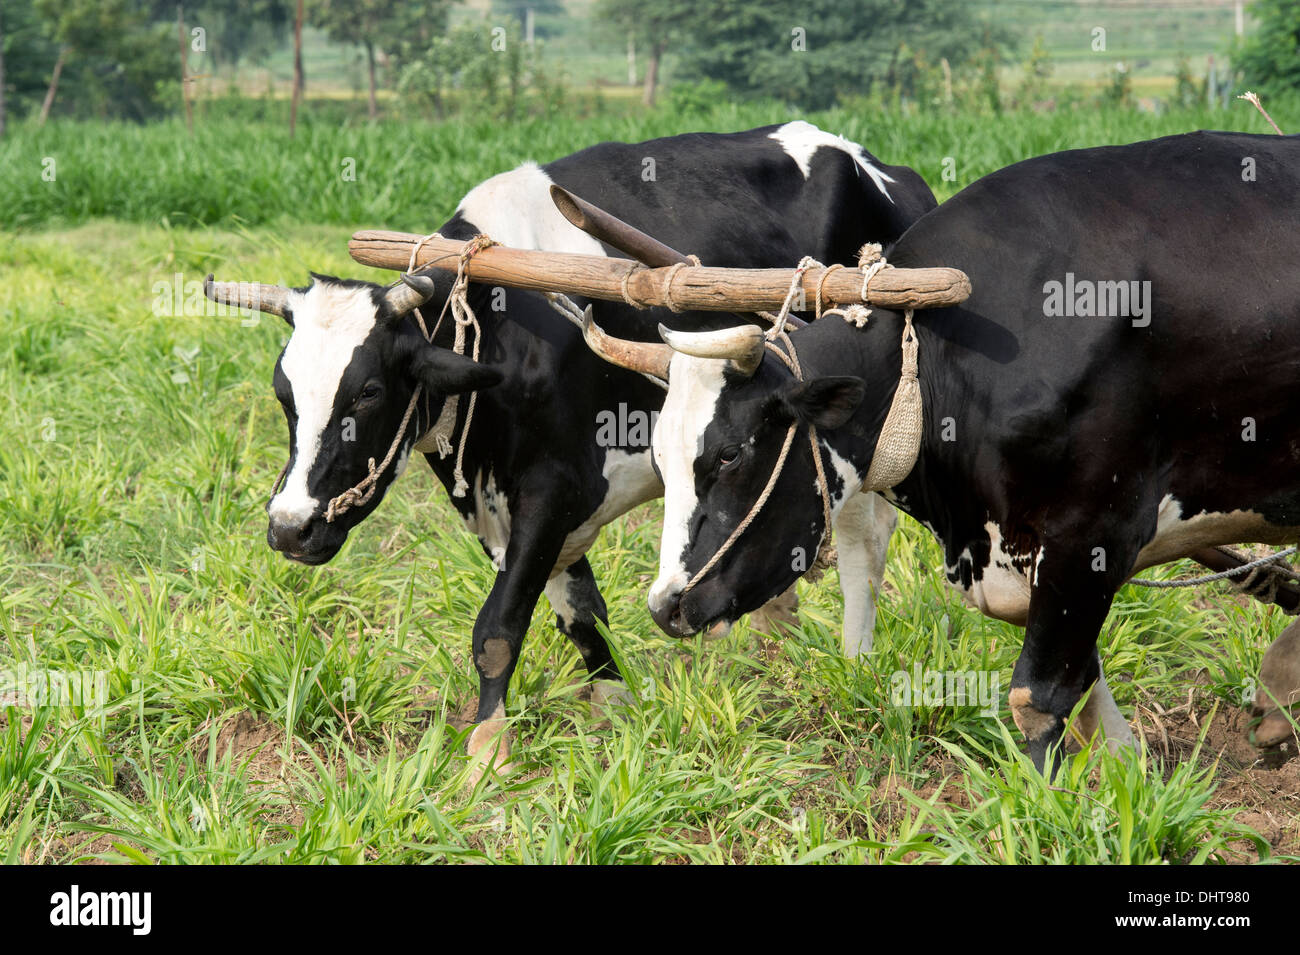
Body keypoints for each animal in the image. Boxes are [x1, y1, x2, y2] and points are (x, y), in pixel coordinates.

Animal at [203, 122, 936, 778]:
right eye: (283, 394)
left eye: (368, 392)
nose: (289, 528)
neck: (503, 320)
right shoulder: (503, 507)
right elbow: (581, 615)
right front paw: (615, 709)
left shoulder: (551, 489)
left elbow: (498, 627)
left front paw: (487, 752)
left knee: (861, 543)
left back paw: (855, 664)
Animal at [581, 130, 1300, 773]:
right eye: (660, 462)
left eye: (729, 455)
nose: (664, 605)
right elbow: (1085, 682)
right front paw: (1129, 768)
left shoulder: (1094, 528)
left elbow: (1040, 696)